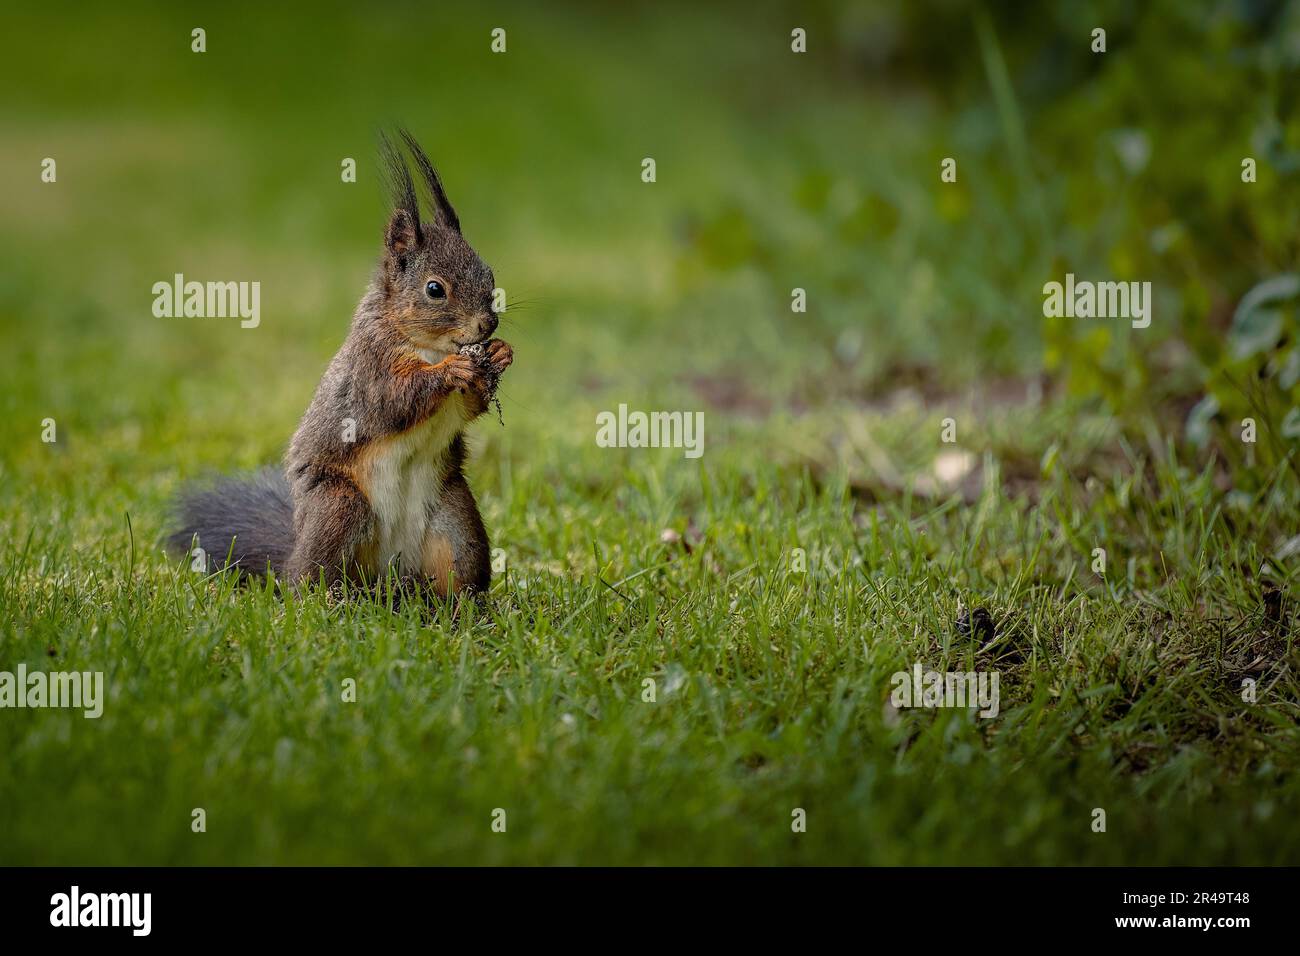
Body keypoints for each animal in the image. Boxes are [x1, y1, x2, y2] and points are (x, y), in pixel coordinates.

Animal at [169, 129, 513, 599]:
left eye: (489, 274)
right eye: (434, 289)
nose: (487, 324)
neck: (428, 346)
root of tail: (390, 573)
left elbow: (467, 407)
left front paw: (499, 354)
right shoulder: (370, 366)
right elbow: (393, 400)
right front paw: (450, 372)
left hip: (456, 520)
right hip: (338, 507)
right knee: (307, 578)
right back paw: (326, 601)